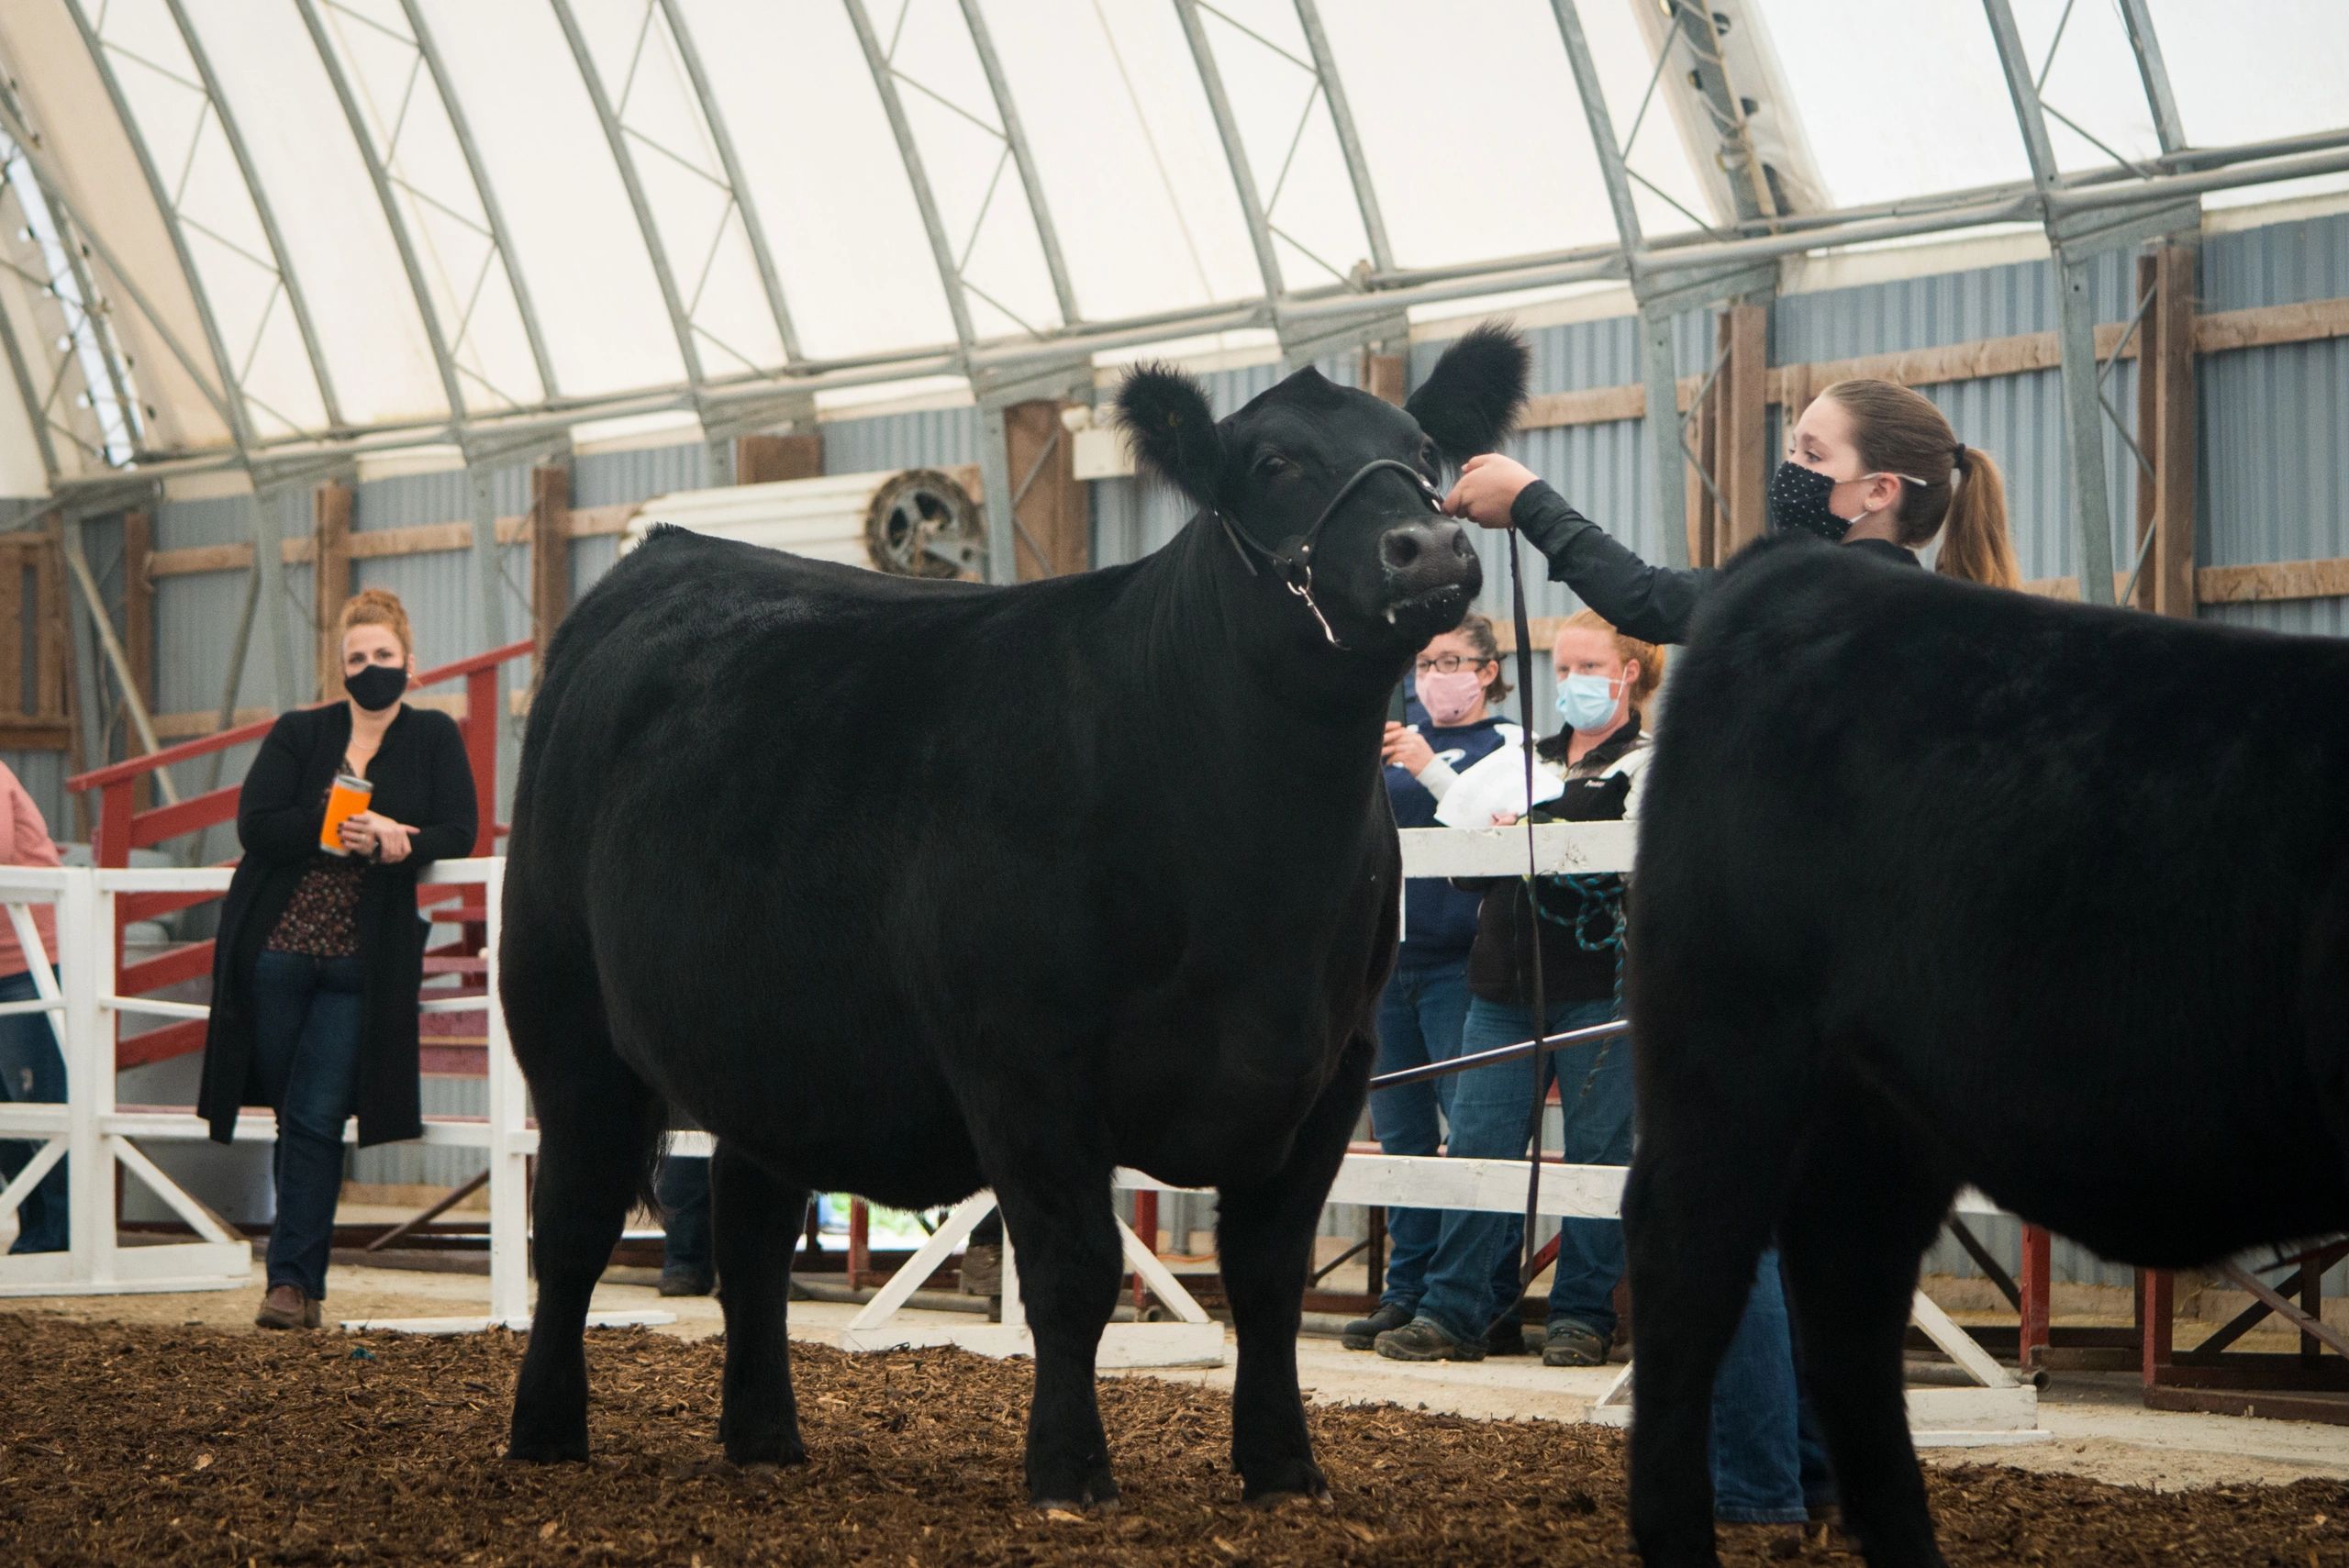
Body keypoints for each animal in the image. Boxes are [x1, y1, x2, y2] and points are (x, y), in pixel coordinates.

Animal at [497, 327, 1530, 1509]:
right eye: (1272, 463)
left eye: (1423, 448)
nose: (1429, 545)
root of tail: (667, 550)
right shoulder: (1024, 1054)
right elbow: (1075, 1268)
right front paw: (1070, 1470)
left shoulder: (1333, 1061)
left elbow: (1266, 1273)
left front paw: (1282, 1466)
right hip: (562, 1013)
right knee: (572, 1221)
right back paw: (546, 1430)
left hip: (771, 1044)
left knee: (750, 1228)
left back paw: (765, 1434)